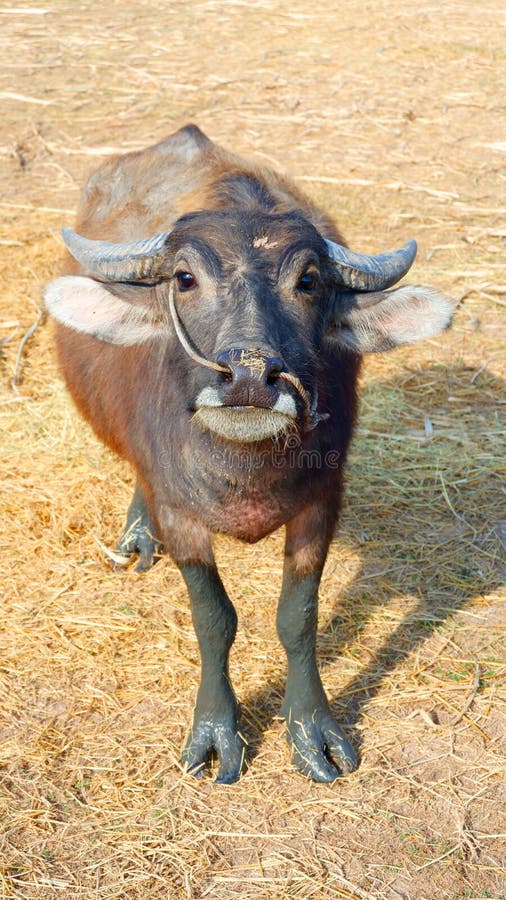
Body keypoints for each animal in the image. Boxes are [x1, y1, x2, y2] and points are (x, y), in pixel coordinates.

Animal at [44, 124, 453, 782]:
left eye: (308, 281)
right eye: (184, 279)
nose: (249, 377)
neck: (245, 471)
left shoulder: (320, 504)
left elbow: (298, 617)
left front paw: (312, 731)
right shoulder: (182, 516)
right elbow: (215, 620)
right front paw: (217, 733)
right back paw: (138, 535)